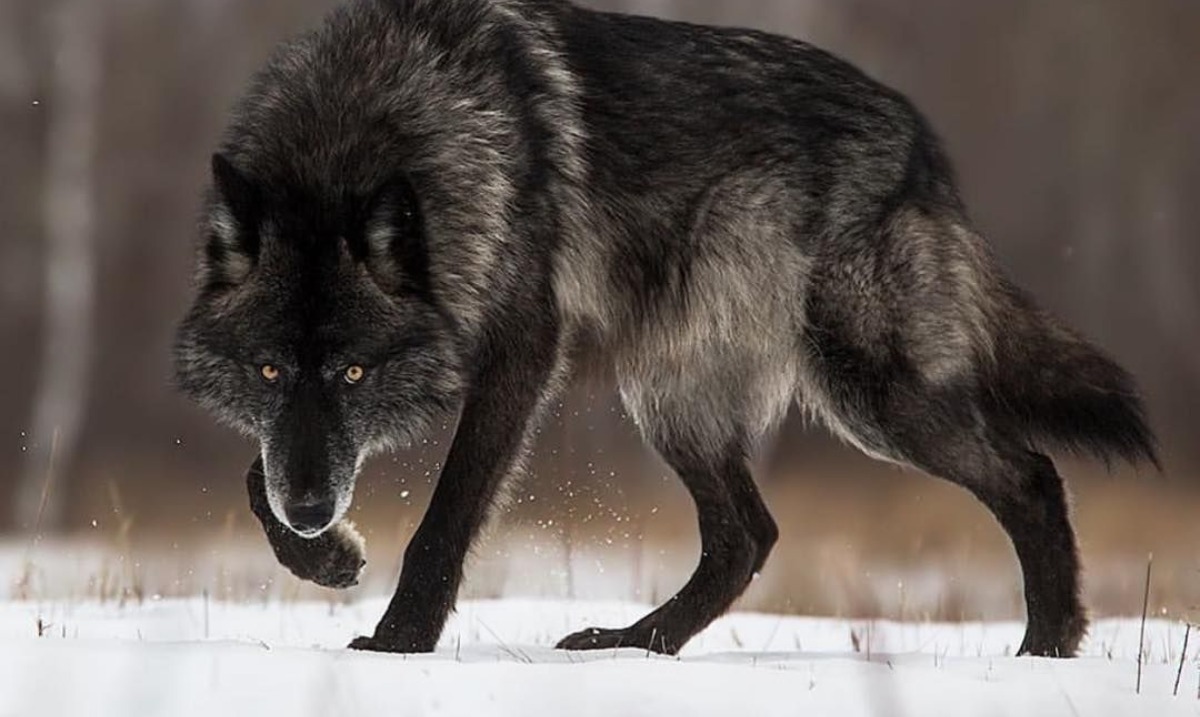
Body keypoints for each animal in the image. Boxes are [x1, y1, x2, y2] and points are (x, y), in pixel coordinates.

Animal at [174, 0, 1157, 658]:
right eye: (267, 373)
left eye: (354, 374)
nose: (316, 510)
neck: (370, 125)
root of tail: (926, 146)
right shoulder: (301, 437)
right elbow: (256, 478)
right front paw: (325, 558)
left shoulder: (522, 354)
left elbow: (447, 514)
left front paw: (398, 642)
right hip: (674, 395)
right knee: (746, 535)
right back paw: (633, 642)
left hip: (871, 396)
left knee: (1030, 476)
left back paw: (1046, 647)